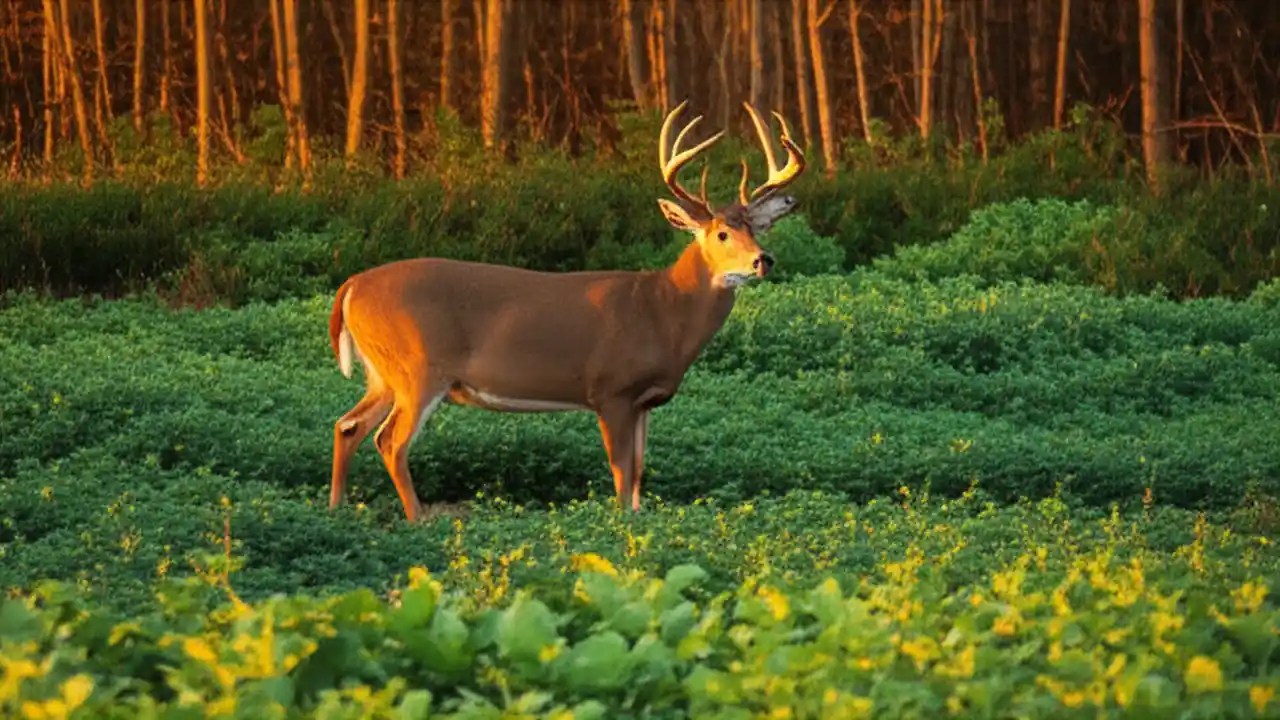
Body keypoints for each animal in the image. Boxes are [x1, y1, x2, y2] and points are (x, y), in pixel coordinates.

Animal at [326, 101, 807, 522]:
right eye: (722, 233)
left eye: (756, 228)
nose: (763, 260)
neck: (662, 309)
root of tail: (351, 286)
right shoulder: (611, 390)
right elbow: (622, 477)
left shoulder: (644, 402)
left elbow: (638, 478)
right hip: (418, 368)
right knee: (391, 441)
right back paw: (418, 519)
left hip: (383, 372)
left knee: (347, 425)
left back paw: (338, 509)